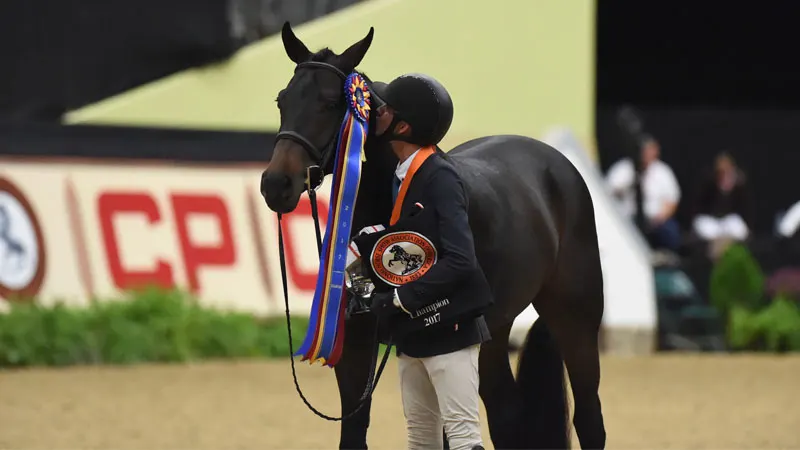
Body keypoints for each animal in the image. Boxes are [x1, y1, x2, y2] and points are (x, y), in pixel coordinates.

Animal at [260, 22, 606, 450]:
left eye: (329, 104)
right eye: (282, 100)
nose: (276, 185)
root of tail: (556, 162)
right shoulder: (356, 346)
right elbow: (354, 433)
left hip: (574, 322)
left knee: (586, 419)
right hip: (492, 336)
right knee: (506, 414)